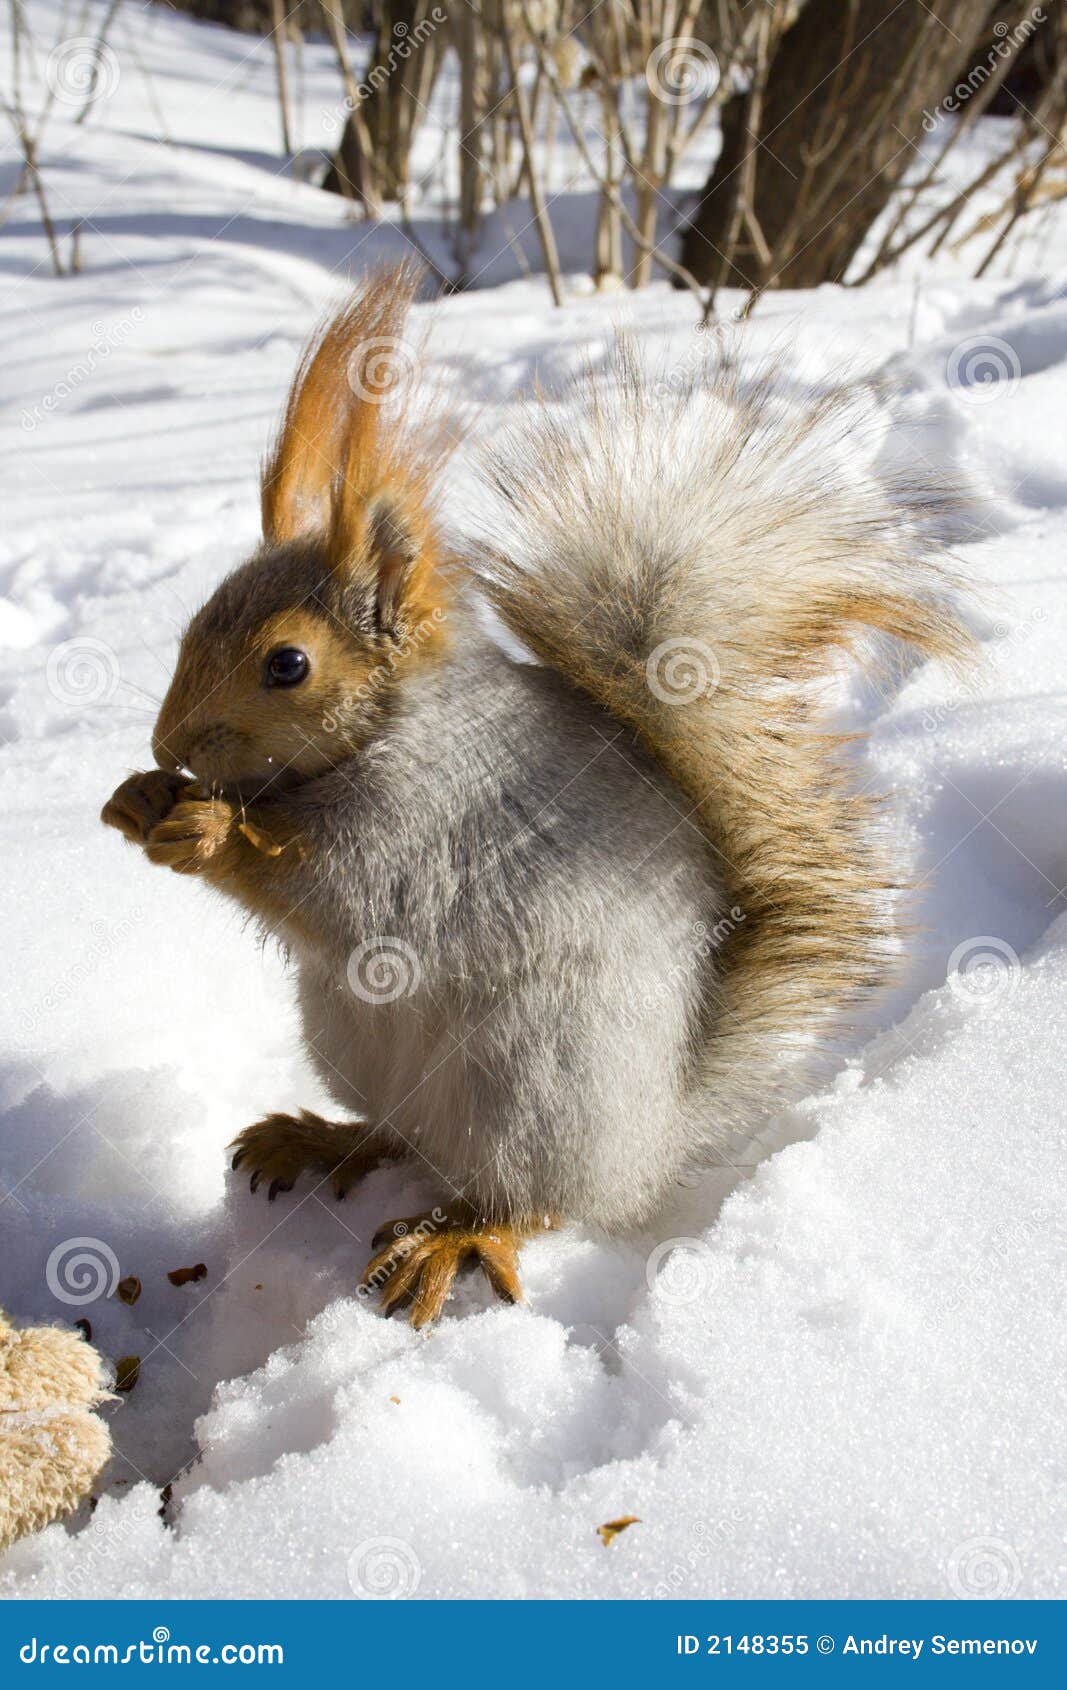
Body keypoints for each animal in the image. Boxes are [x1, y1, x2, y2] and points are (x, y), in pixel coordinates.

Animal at [101, 265, 971, 1328]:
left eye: (287, 664)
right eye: (193, 621)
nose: (169, 744)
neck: (397, 730)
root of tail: (654, 1136)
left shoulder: (425, 828)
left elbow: (334, 889)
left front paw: (206, 828)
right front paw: (140, 798)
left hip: (533, 1087)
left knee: (534, 1202)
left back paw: (458, 1237)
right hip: (356, 1045)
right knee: (405, 1137)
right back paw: (324, 1139)